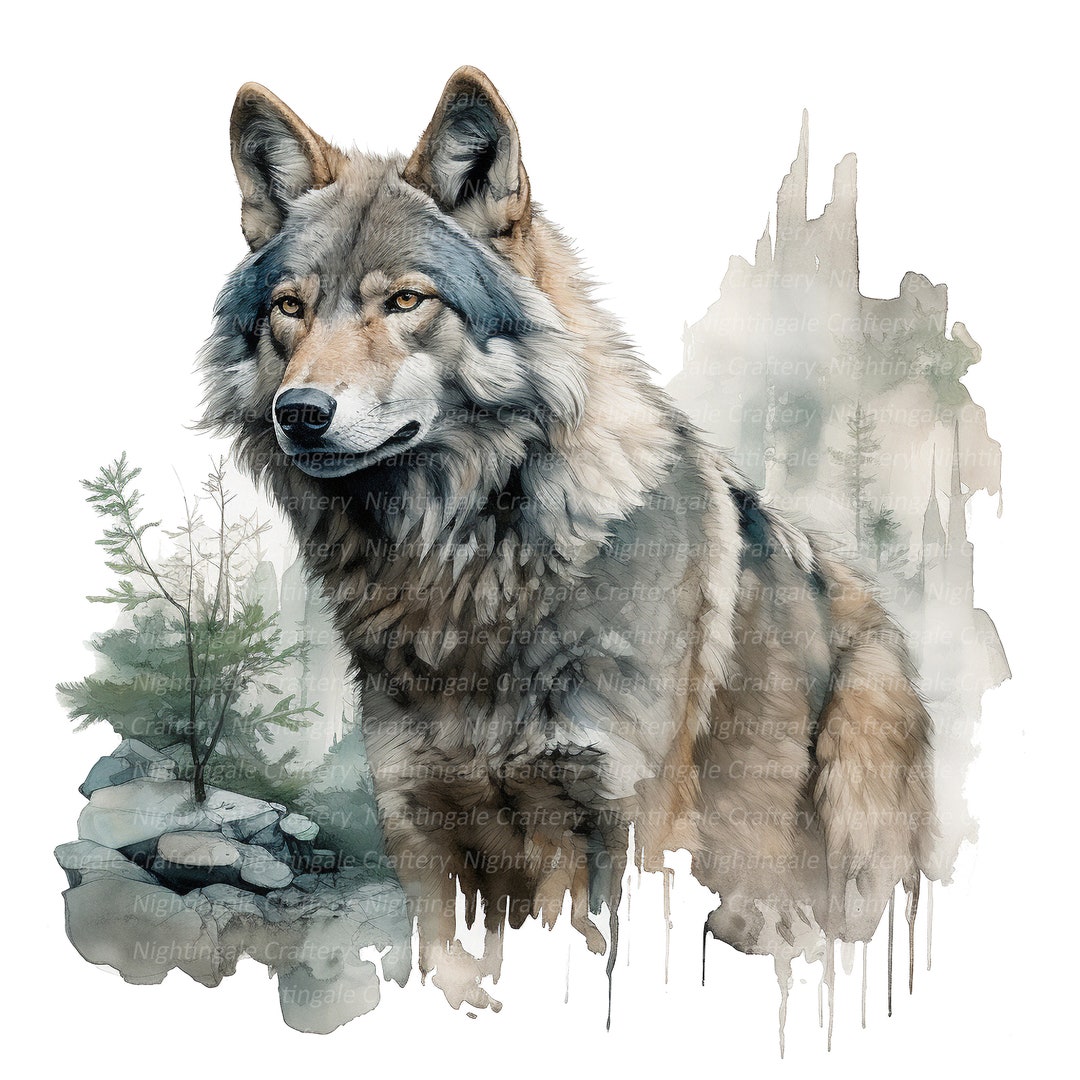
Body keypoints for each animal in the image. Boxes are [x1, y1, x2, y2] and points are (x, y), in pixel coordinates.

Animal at [199, 67, 935, 1012]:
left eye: (406, 301)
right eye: (291, 308)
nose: (300, 413)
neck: (466, 567)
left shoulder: (612, 822)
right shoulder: (419, 824)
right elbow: (450, 969)